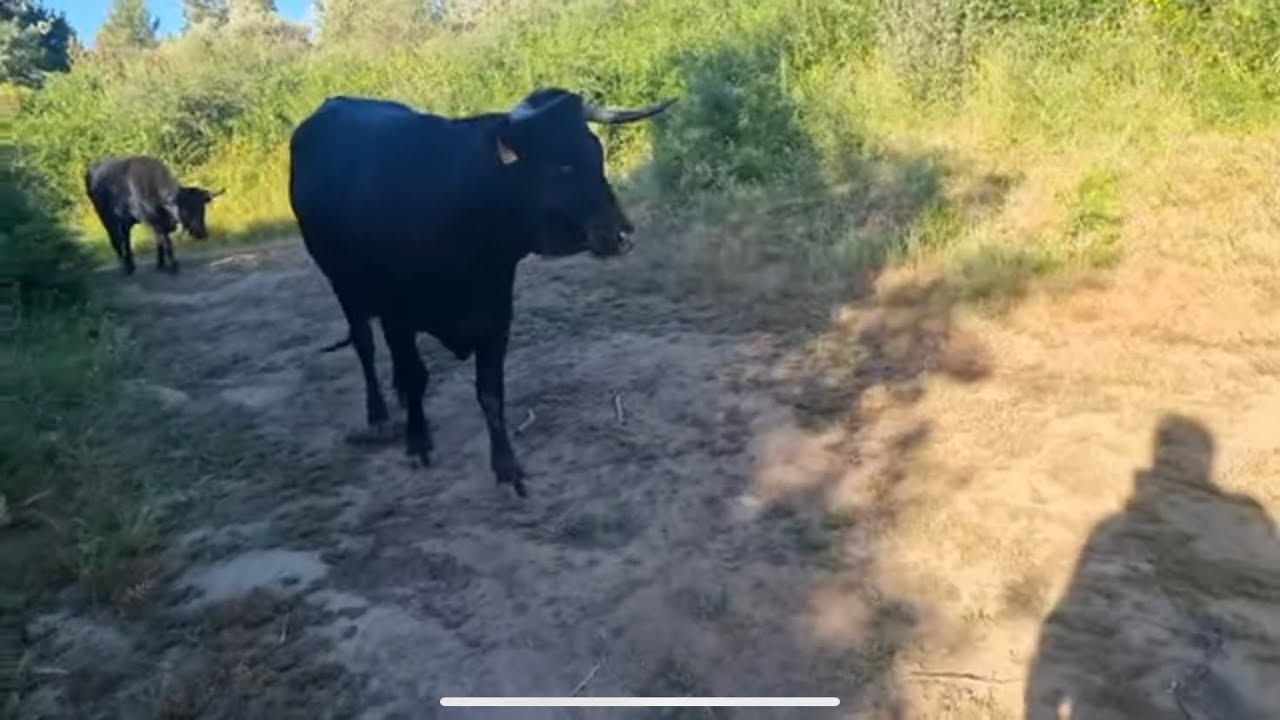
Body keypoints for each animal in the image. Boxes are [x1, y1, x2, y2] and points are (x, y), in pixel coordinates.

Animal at [85, 155, 224, 275]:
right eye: (186, 209)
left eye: (202, 208)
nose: (202, 233)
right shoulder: (154, 222)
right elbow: (166, 243)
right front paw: (173, 266)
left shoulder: (160, 224)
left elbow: (159, 243)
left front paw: (161, 265)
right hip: (106, 218)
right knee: (115, 240)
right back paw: (125, 267)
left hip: (126, 222)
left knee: (126, 238)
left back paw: (131, 265)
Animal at [287, 88, 677, 498]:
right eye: (560, 166)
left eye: (595, 154)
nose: (622, 234)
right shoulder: (398, 314)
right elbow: (417, 375)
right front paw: (417, 441)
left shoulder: (495, 315)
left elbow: (490, 393)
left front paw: (506, 466)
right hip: (342, 285)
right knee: (364, 344)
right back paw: (378, 414)